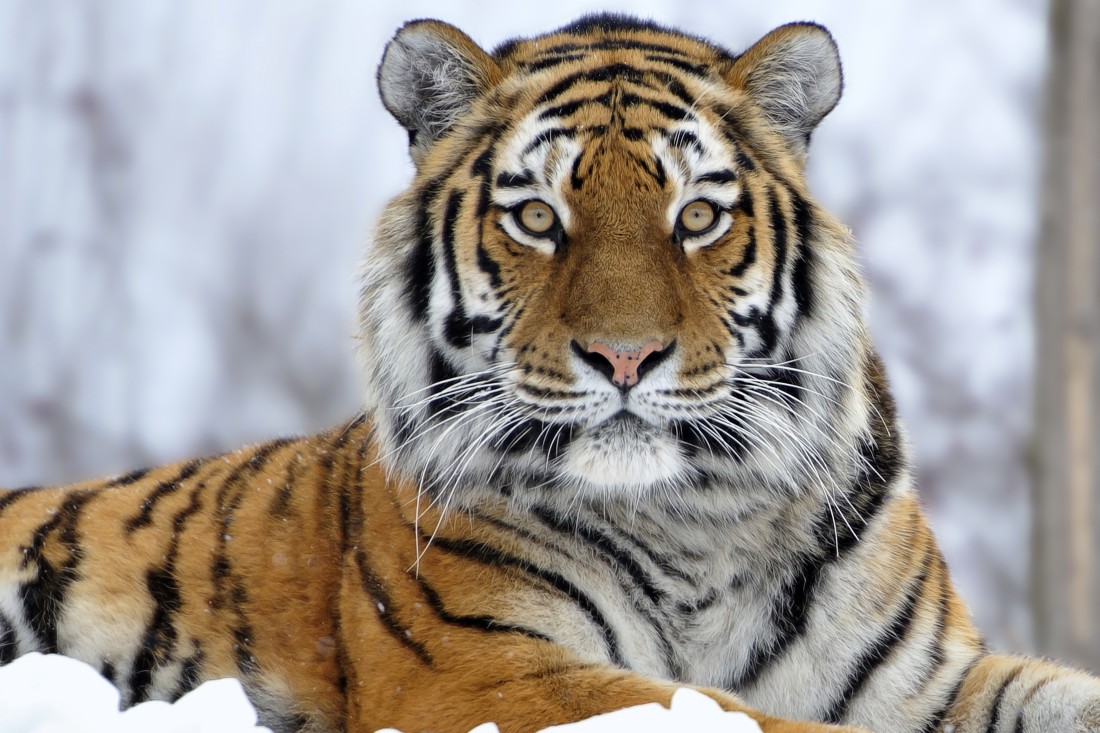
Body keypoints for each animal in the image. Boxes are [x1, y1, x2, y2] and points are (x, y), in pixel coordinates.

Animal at [2, 13, 1099, 733]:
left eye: (697, 216)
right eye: (536, 215)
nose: (625, 356)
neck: (696, 521)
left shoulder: (924, 681)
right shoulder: (486, 666)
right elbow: (741, 716)